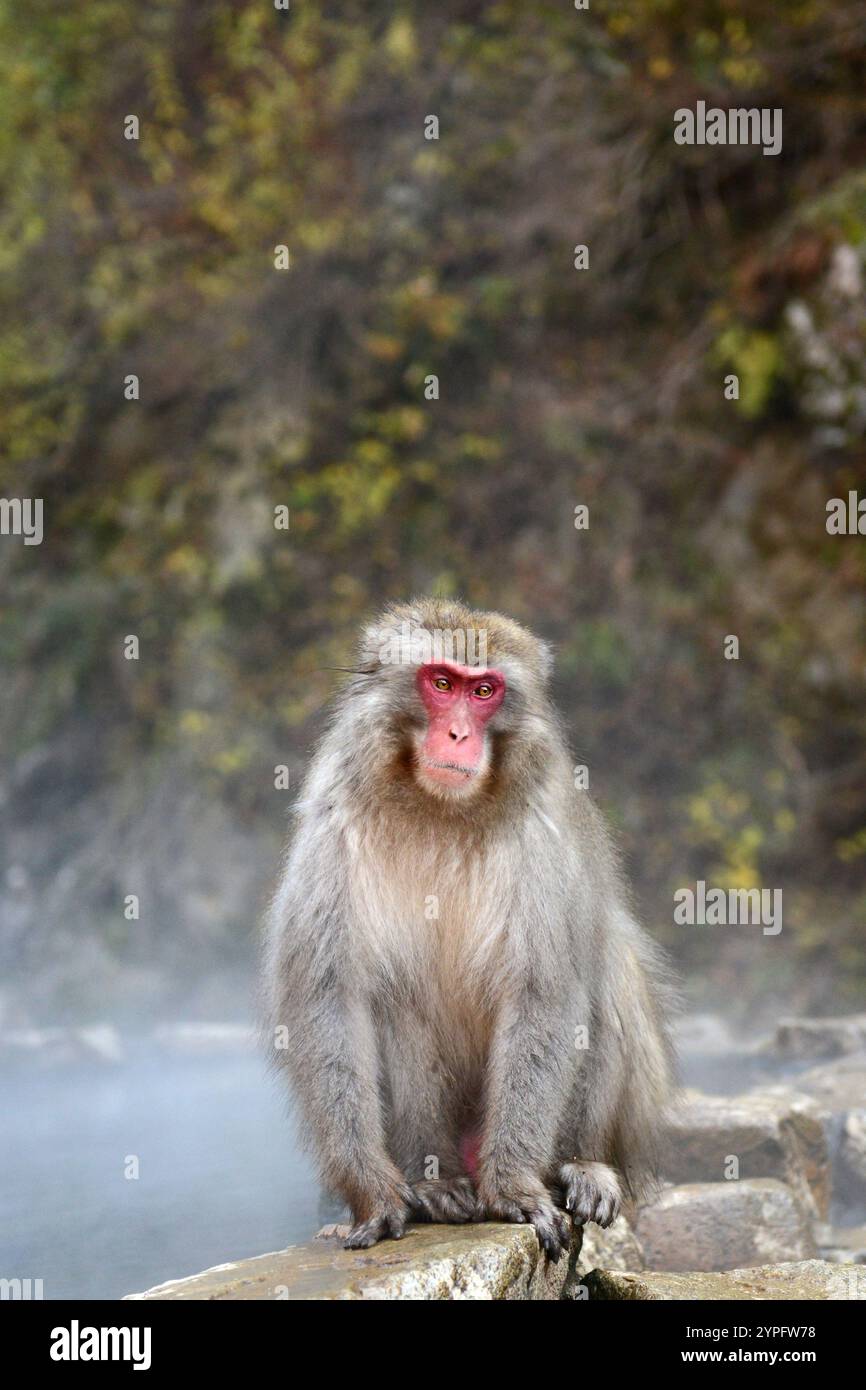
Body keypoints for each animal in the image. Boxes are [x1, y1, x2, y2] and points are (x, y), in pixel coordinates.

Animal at [262, 598, 678, 1260]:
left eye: (483, 691)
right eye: (440, 683)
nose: (457, 734)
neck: (441, 809)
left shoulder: (542, 833)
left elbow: (544, 995)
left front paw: (512, 1186)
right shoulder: (334, 821)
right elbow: (329, 999)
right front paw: (373, 1194)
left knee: (608, 967)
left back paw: (581, 1166)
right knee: (397, 1004)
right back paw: (436, 1181)